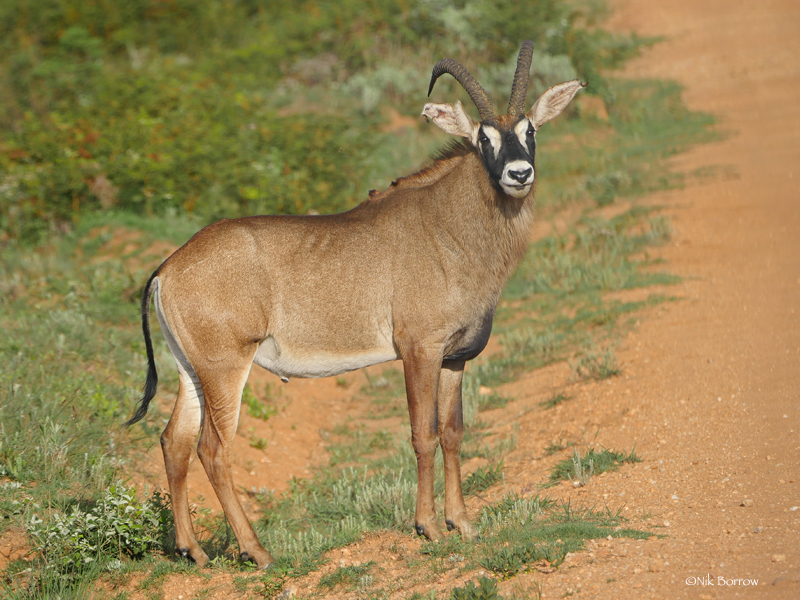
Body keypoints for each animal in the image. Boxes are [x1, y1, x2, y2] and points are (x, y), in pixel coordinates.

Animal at [126, 41, 584, 569]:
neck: (448, 227)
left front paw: (464, 523)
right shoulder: (419, 352)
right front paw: (429, 527)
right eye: (483, 138)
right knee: (213, 449)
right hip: (225, 369)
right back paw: (257, 552)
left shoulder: (455, 358)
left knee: (173, 442)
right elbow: (423, 433)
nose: (519, 173)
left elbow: (453, 432)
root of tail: (168, 267)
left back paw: (194, 551)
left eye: (530, 130)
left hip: (191, 371)